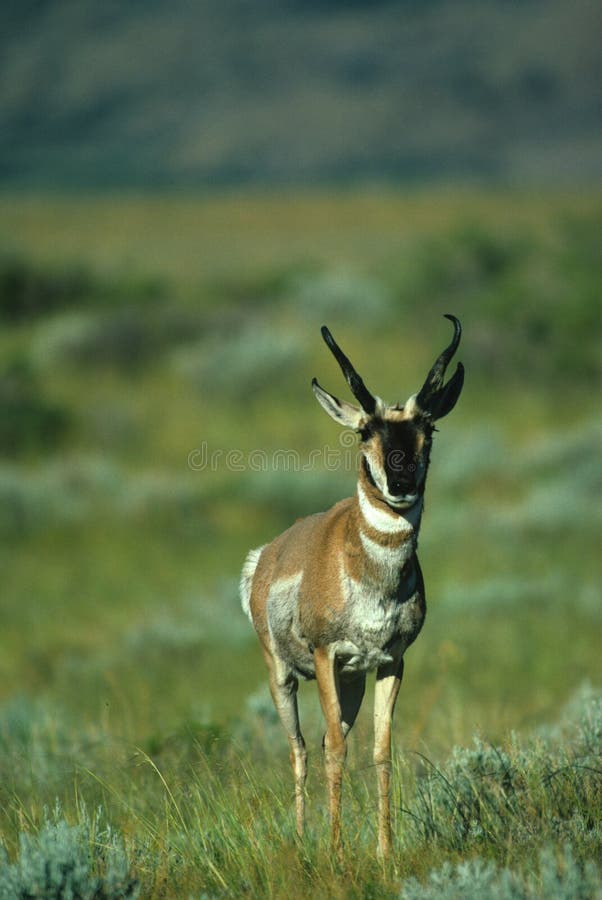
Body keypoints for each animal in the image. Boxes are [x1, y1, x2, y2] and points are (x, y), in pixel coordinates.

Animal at [240, 315, 464, 857]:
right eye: (365, 430)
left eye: (429, 426)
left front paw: (383, 852)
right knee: (302, 748)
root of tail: (267, 555)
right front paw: (337, 852)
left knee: (321, 742)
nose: (401, 482)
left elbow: (381, 750)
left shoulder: (389, 662)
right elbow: (338, 751)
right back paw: (305, 840)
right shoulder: (325, 656)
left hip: (351, 682)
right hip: (284, 676)